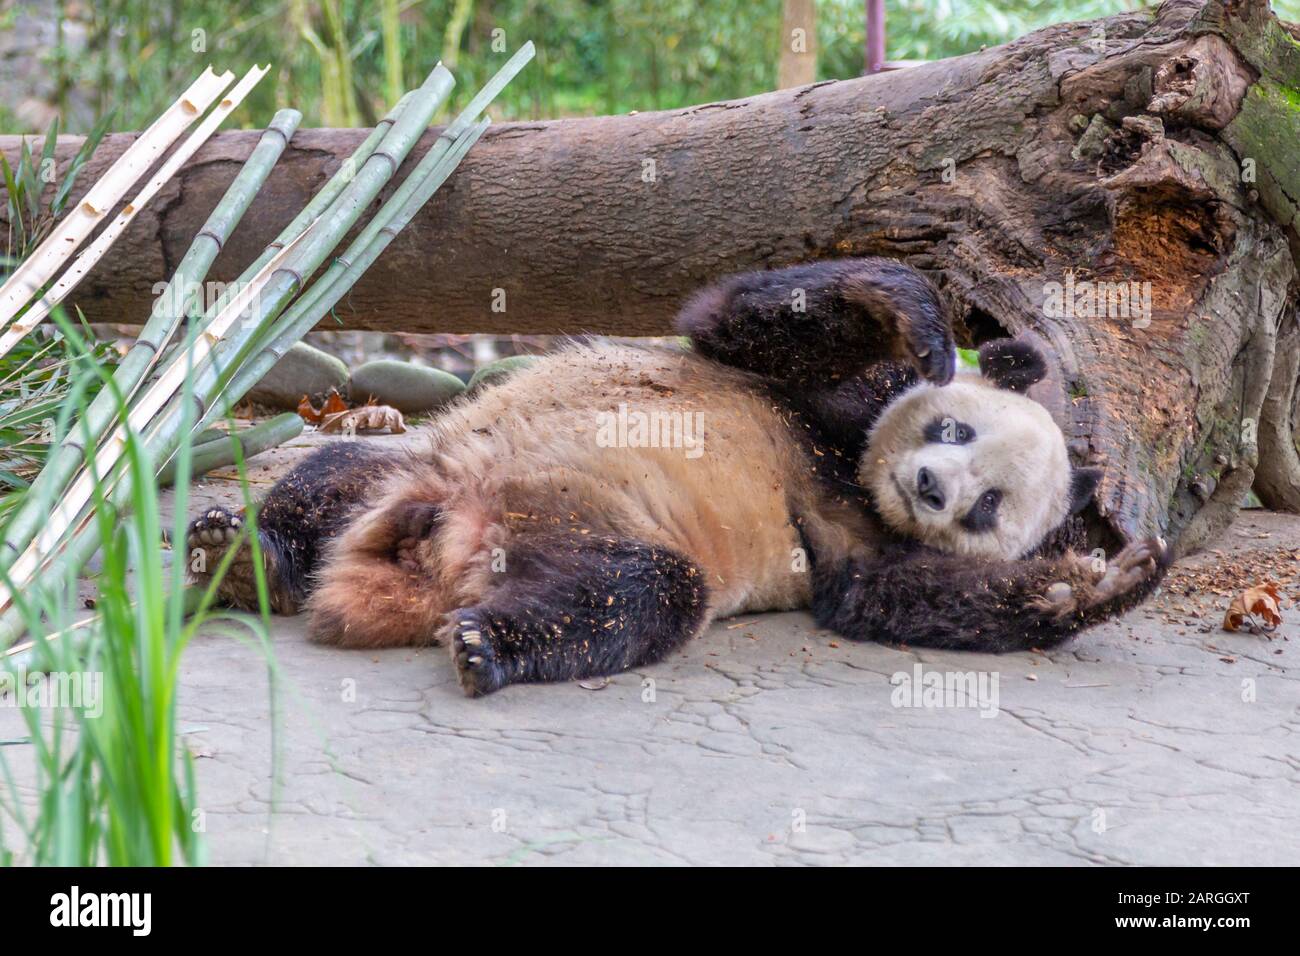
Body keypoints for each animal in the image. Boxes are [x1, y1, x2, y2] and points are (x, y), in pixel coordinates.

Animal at [186, 257, 1169, 696]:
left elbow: (888, 597)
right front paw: (919, 319)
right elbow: (739, 318)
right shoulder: (812, 397)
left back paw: (485, 644)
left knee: (634, 595)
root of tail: (434, 559)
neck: (854, 472)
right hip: (431, 460)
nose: (930, 488)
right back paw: (238, 553)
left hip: (583, 534)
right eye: (951, 427)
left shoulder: (851, 539)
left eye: (988, 507)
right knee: (336, 472)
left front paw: (1101, 579)